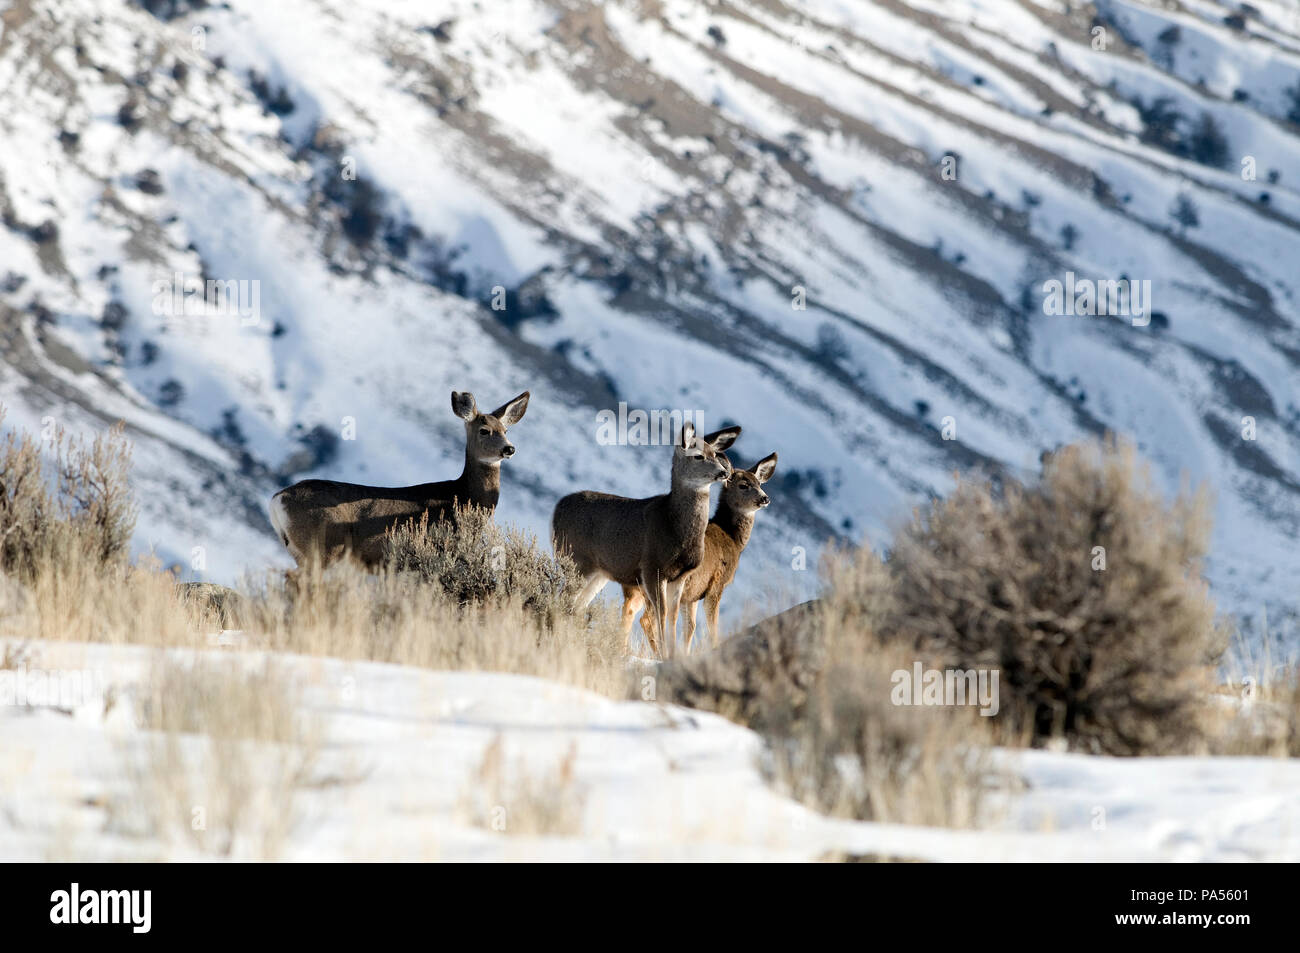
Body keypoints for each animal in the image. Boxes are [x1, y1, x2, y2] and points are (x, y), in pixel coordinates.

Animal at [269, 390, 529, 570]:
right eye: (484, 430)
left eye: (506, 430)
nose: (509, 448)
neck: (462, 496)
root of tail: (277, 499)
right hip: (322, 547)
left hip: (301, 551)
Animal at [551, 422, 741, 657]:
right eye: (698, 456)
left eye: (714, 454)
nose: (723, 472)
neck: (673, 525)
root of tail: (557, 509)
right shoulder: (652, 568)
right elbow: (660, 614)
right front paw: (664, 654)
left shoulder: (681, 576)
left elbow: (673, 616)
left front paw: (672, 654)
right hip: (576, 558)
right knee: (564, 598)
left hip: (599, 572)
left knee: (577, 605)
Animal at [620, 452, 776, 654]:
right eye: (743, 485)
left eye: (759, 483)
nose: (765, 498)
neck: (732, 538)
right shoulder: (716, 584)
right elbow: (712, 627)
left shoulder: (692, 594)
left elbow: (690, 627)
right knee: (646, 619)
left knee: (629, 612)